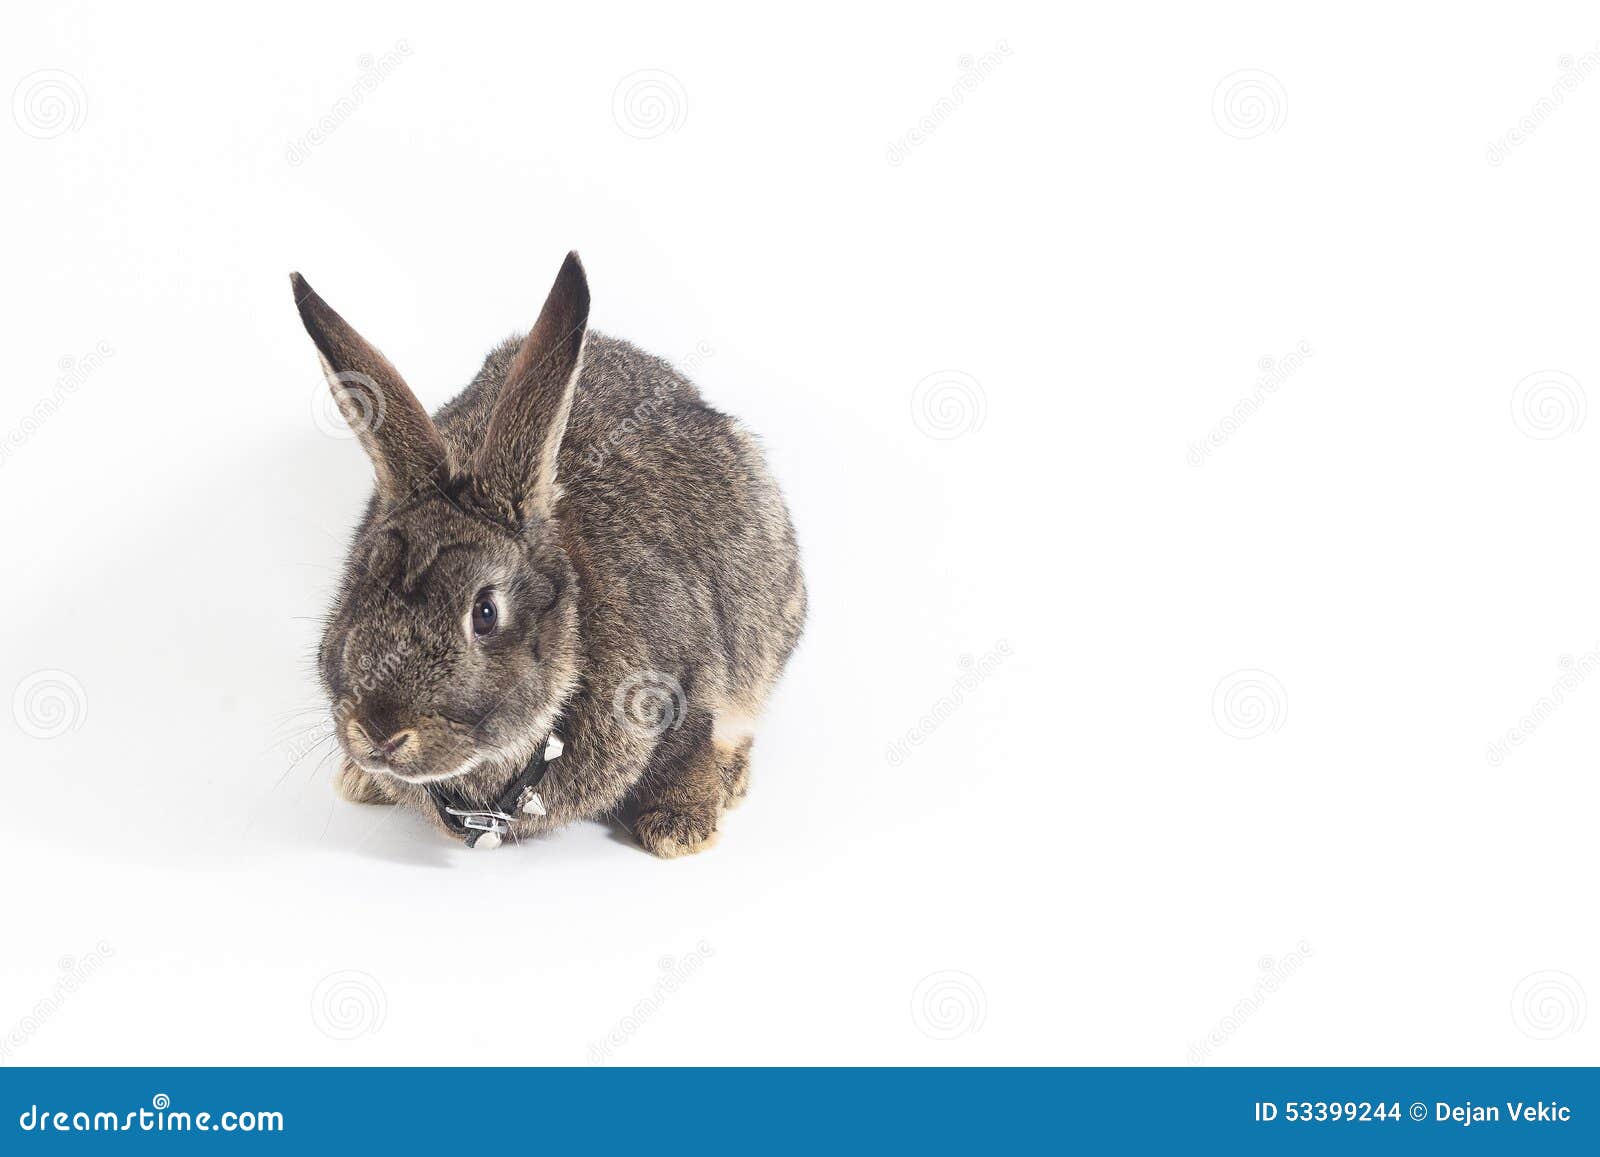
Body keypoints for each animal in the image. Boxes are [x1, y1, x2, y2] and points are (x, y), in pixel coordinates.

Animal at [291, 252, 806, 855]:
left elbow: (697, 743)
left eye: (485, 613)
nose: (379, 732)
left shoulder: (695, 680)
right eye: (357, 587)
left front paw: (678, 830)